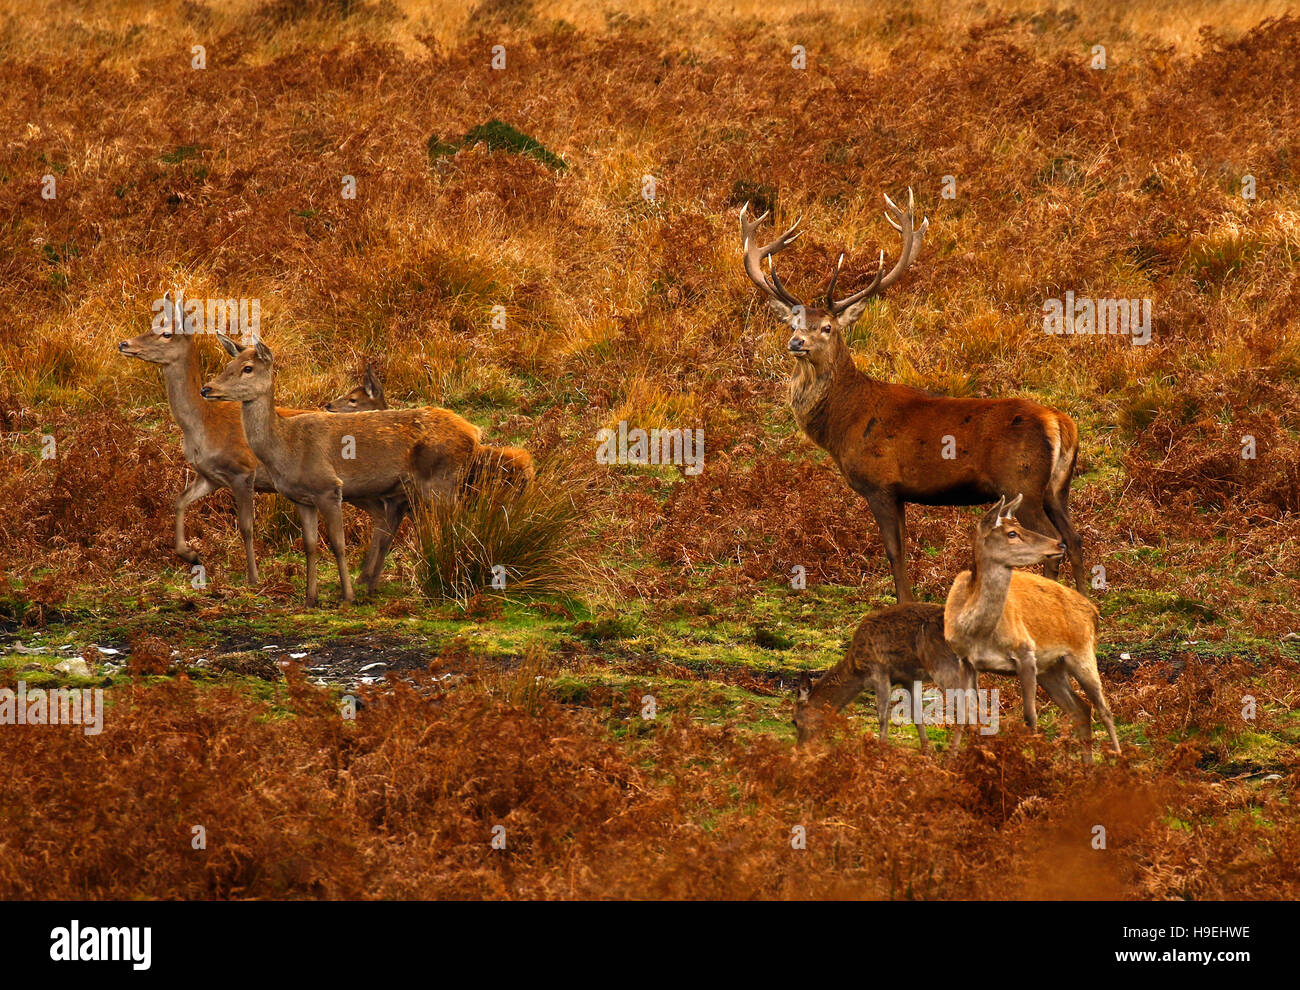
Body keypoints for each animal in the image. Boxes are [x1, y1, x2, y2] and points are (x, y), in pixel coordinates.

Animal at [202, 335, 483, 605]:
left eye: (247, 368)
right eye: (228, 365)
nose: (207, 388)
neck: (286, 447)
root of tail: (474, 433)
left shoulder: (328, 488)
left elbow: (338, 544)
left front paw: (347, 596)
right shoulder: (302, 499)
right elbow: (310, 545)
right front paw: (310, 598)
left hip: (442, 481)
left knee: (455, 523)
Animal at [743, 188, 1086, 597]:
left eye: (826, 327)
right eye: (794, 323)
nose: (796, 342)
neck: (844, 422)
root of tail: (1060, 423)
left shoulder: (881, 484)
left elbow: (895, 553)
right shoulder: (901, 492)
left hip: (1023, 482)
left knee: (1054, 541)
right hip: (1058, 488)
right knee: (1075, 538)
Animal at [790, 597, 977, 753]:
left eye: (795, 721)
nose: (799, 748)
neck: (857, 671)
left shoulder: (878, 671)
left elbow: (882, 716)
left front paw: (882, 751)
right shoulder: (908, 678)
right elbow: (916, 714)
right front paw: (926, 752)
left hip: (944, 666)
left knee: (964, 708)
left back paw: (952, 754)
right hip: (970, 671)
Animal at [946, 491, 1118, 753]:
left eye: (1019, 525)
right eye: (1012, 533)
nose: (1059, 544)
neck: (977, 633)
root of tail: (1093, 610)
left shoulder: (1025, 652)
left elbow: (1030, 717)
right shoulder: (964, 661)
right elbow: (964, 717)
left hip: (1083, 653)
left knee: (1104, 709)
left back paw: (1119, 756)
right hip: (1051, 668)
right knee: (1080, 709)